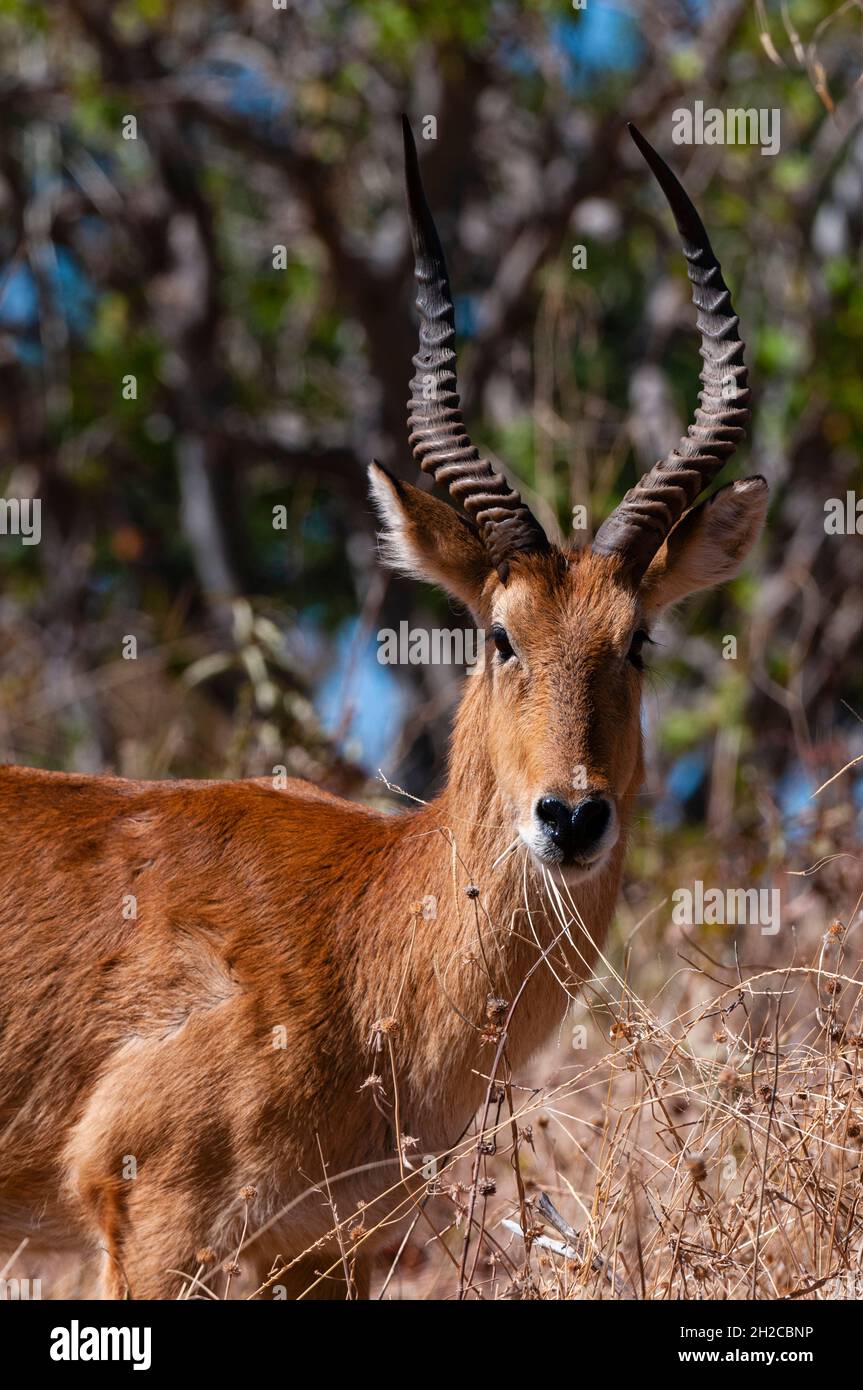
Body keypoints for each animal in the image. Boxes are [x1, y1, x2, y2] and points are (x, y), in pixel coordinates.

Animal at [0, 121, 768, 1301]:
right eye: (498, 633)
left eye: (637, 638)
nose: (570, 817)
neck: (364, 950)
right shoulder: (149, 1222)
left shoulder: (334, 1254)